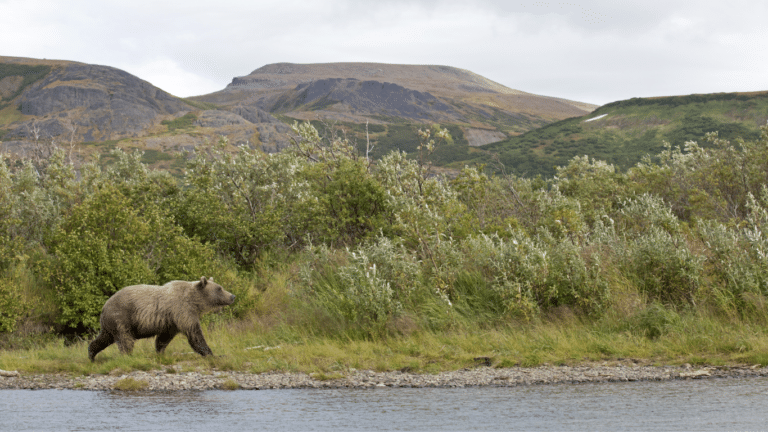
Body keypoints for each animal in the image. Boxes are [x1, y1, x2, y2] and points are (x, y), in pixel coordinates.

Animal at [88, 277, 235, 361]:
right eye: (219, 288)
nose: (232, 296)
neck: (195, 301)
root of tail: (104, 306)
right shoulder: (182, 310)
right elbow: (195, 334)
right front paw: (213, 354)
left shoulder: (171, 321)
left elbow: (164, 338)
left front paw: (160, 352)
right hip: (121, 317)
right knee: (125, 339)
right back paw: (128, 356)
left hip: (110, 324)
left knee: (104, 338)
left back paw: (91, 355)